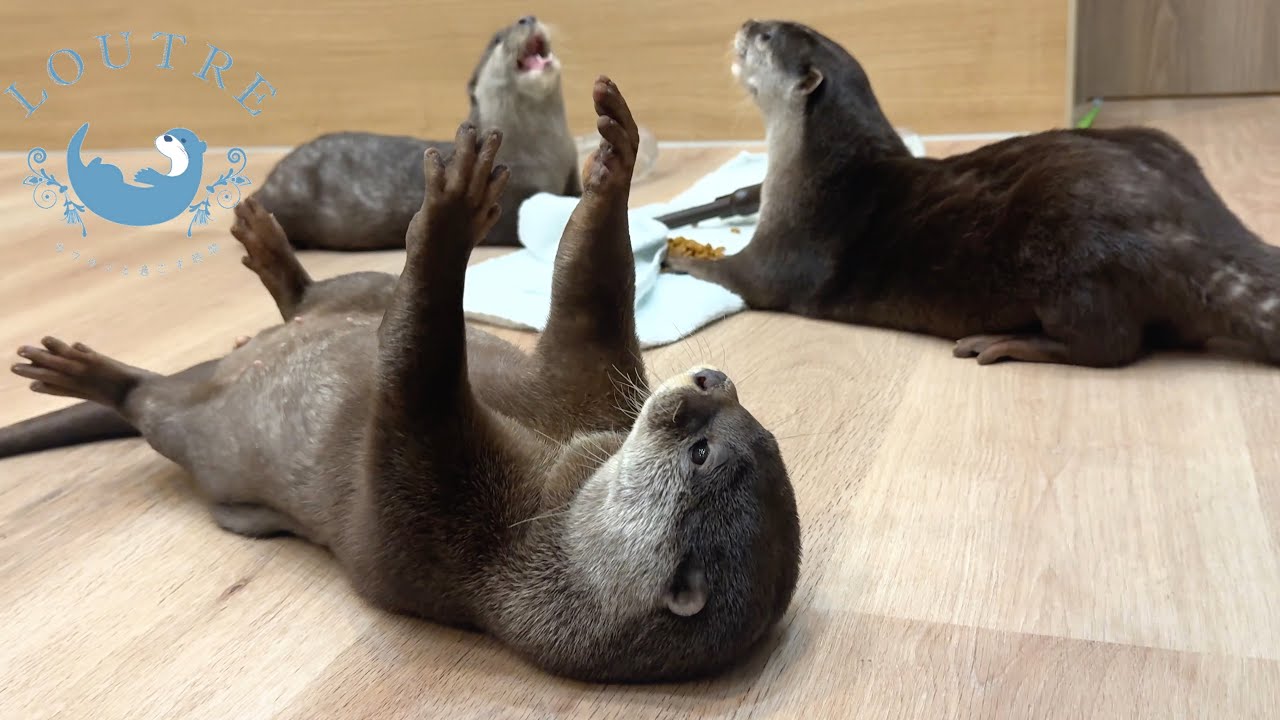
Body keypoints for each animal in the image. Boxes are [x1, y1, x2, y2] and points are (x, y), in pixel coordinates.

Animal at [7, 78, 801, 684]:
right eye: (748, 417)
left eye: (701, 453)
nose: (711, 381)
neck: (547, 500)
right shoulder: (586, 389)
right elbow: (588, 291)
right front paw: (614, 150)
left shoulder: (442, 516)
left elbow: (414, 373)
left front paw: (450, 215)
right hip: (355, 286)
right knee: (316, 299)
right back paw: (268, 250)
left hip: (183, 423)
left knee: (149, 402)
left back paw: (84, 373)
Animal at [251, 15, 580, 251]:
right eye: (497, 39)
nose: (527, 17)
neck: (545, 152)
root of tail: (269, 179)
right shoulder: (515, 193)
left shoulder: (571, 168)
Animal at [665, 19, 1280, 369]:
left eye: (767, 37)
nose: (746, 21)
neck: (815, 168)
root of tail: (1193, 232)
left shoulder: (785, 246)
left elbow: (738, 276)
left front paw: (674, 254)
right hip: (1158, 143)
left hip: (1073, 256)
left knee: (1110, 347)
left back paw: (1000, 342)